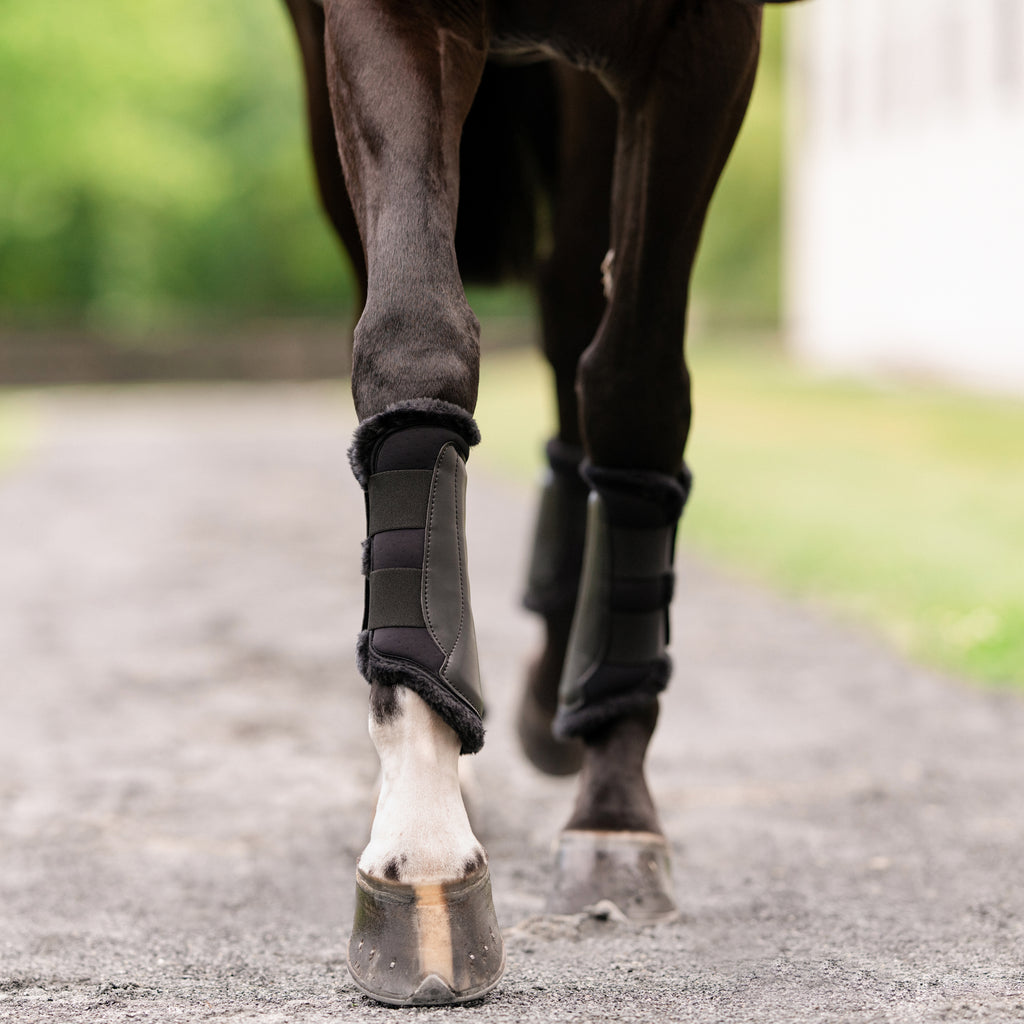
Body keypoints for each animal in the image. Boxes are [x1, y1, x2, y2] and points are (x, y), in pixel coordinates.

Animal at [281, 0, 794, 1006]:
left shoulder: (702, 44)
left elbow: (635, 385)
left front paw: (615, 811)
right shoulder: (382, 20)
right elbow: (411, 336)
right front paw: (422, 839)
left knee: (573, 320)